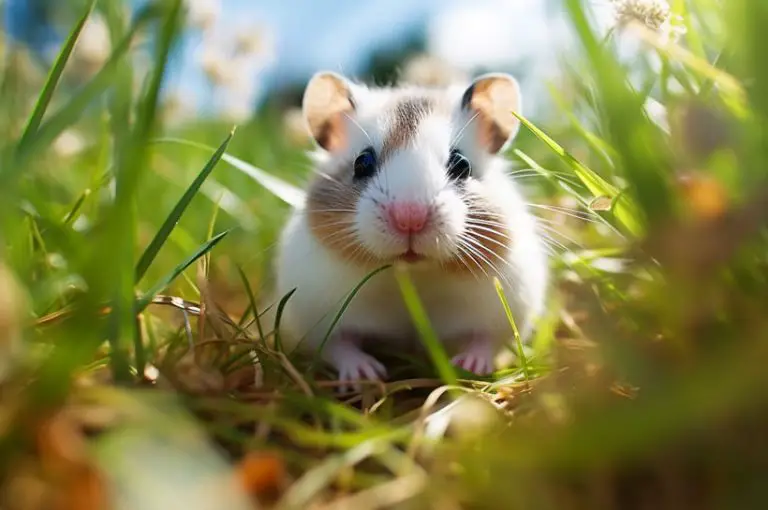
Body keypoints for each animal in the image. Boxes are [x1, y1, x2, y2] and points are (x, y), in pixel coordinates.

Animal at [273, 71, 548, 387]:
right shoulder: (318, 317)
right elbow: (339, 346)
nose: (409, 218)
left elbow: (485, 341)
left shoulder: (503, 312)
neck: (412, 275)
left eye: (461, 164)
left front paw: (468, 366)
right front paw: (366, 375)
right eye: (362, 162)